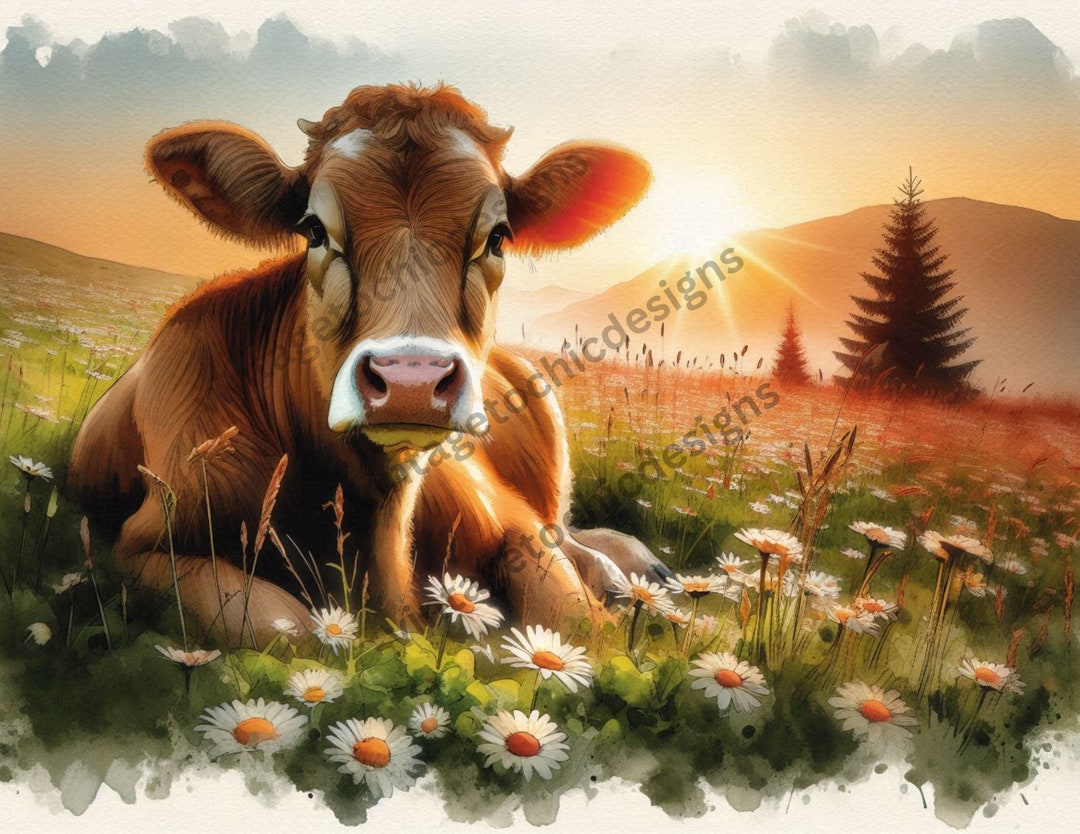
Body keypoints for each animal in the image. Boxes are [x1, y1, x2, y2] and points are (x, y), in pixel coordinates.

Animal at [68, 83, 664, 646]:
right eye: (313, 229)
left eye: (498, 236)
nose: (410, 379)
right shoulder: (140, 548)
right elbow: (281, 628)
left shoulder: (512, 523)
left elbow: (575, 622)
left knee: (566, 530)